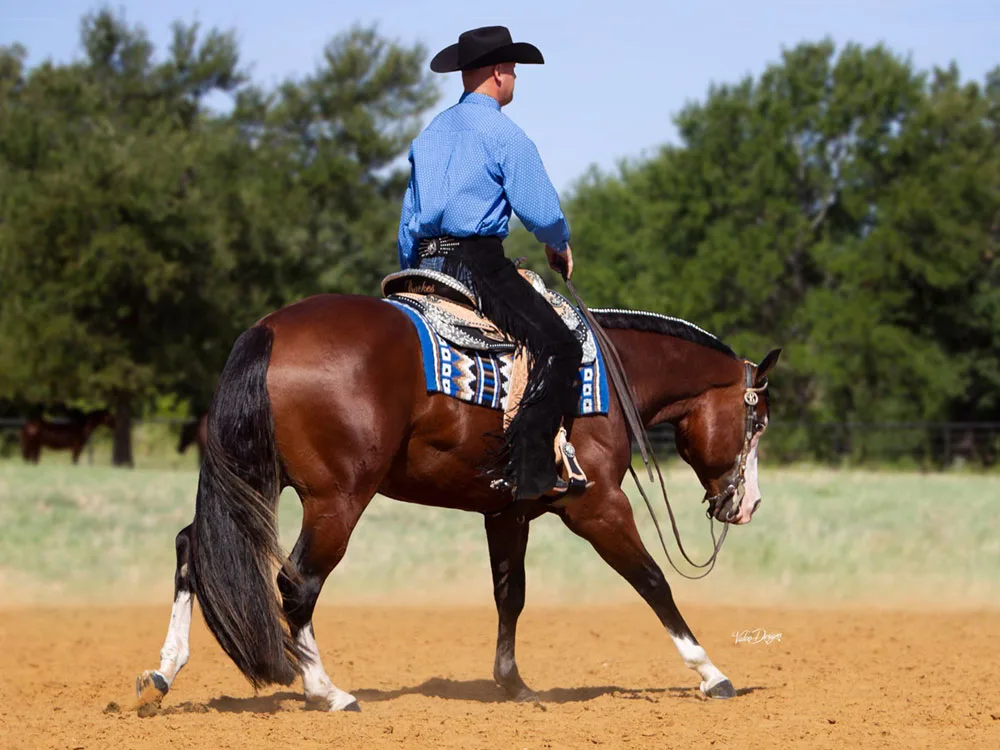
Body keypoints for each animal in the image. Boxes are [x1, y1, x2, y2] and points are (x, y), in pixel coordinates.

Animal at [135, 293, 780, 712]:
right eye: (758, 420)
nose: (747, 504)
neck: (603, 385)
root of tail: (270, 329)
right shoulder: (598, 507)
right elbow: (652, 582)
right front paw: (711, 674)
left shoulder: (508, 512)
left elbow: (510, 595)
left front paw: (513, 684)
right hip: (335, 499)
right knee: (297, 584)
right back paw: (328, 692)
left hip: (256, 479)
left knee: (193, 548)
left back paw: (162, 674)